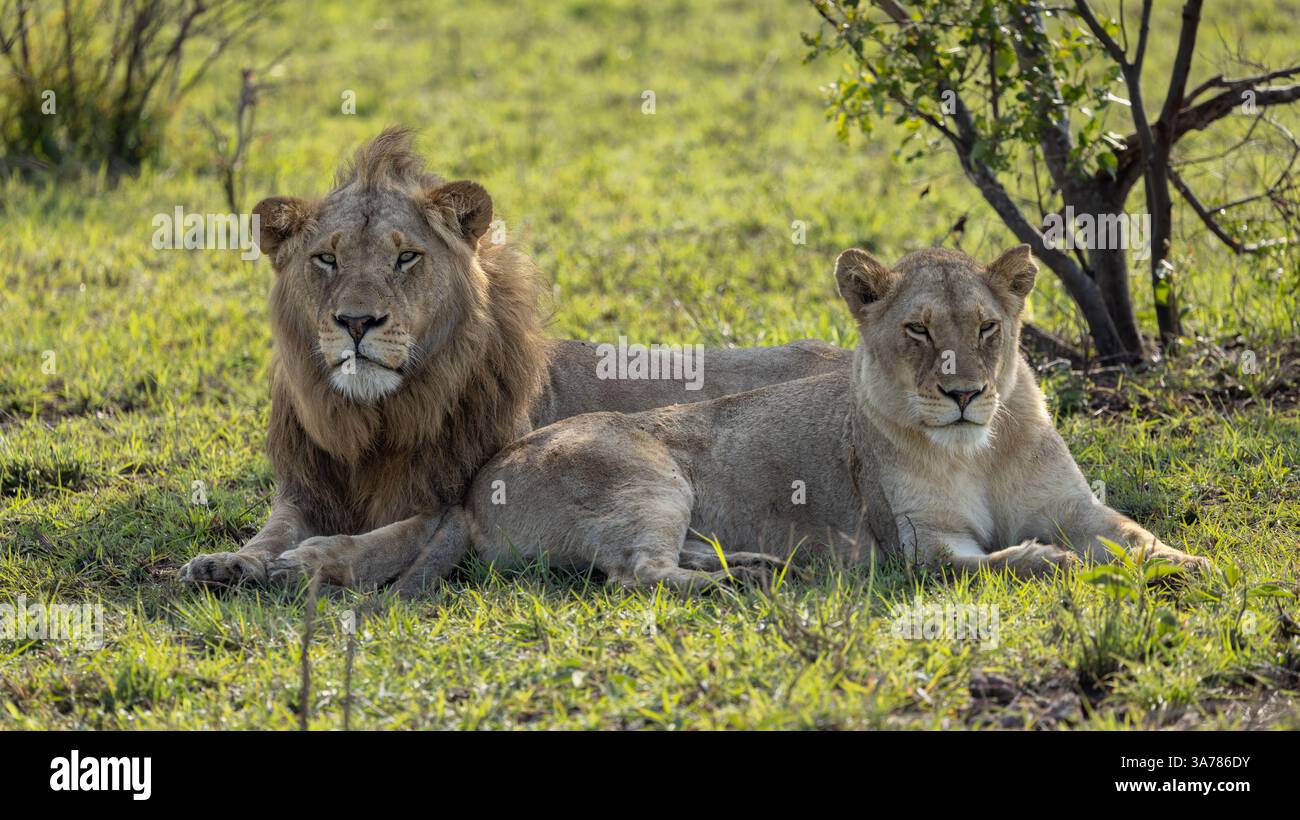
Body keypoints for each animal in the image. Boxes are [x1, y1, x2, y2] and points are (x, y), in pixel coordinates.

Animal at [177, 127, 847, 587]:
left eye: (406, 257)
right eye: (326, 259)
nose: (357, 322)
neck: (377, 420)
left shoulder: (457, 503)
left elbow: (385, 539)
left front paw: (312, 560)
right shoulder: (308, 490)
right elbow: (272, 530)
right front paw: (227, 561)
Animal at [262, 243, 1210, 593]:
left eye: (986, 329)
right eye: (917, 331)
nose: (965, 393)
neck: (978, 448)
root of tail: (477, 481)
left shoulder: (1077, 505)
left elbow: (1129, 534)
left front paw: (1189, 563)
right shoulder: (920, 547)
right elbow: (1000, 560)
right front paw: (1049, 561)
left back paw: (752, 563)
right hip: (650, 475)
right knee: (637, 575)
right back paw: (738, 581)